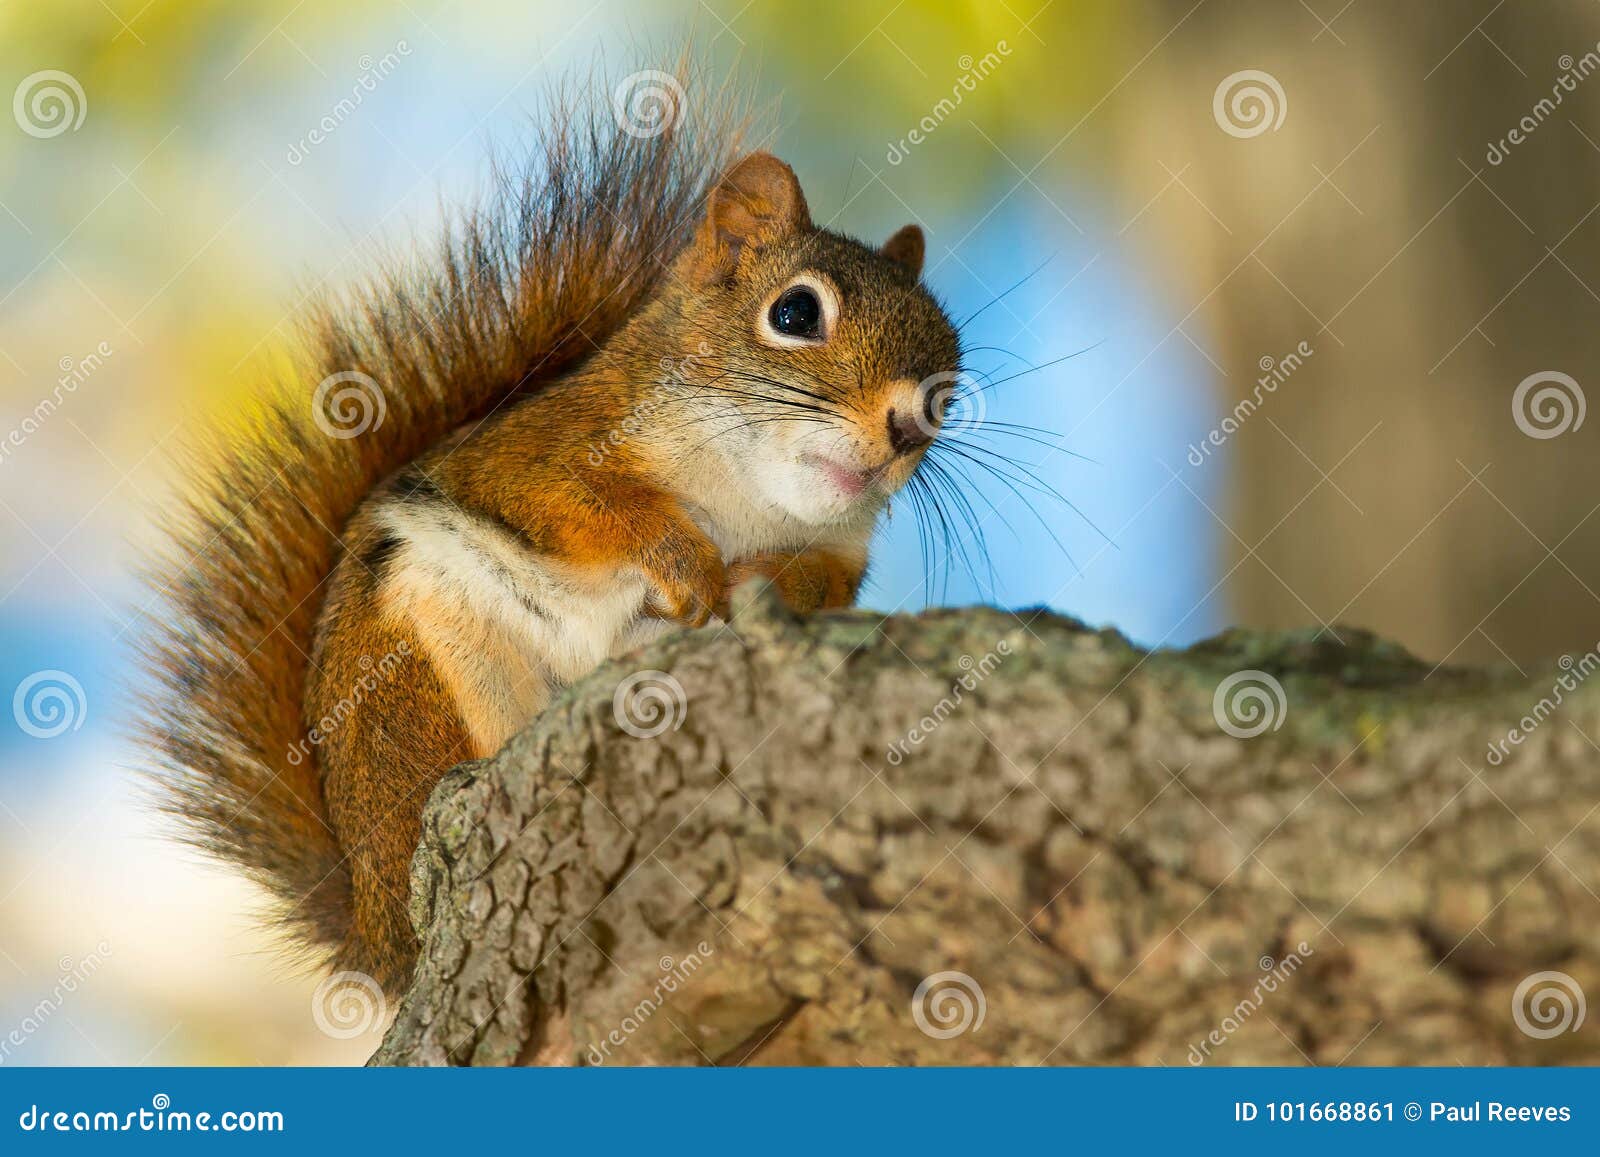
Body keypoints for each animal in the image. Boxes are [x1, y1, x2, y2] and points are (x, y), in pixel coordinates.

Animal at [137, 78, 963, 997]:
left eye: (949, 388)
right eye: (794, 311)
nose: (906, 428)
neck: (751, 497)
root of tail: (376, 935)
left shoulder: (839, 548)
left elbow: (819, 581)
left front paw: (762, 583)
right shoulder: (539, 449)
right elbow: (576, 502)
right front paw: (687, 563)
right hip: (419, 673)